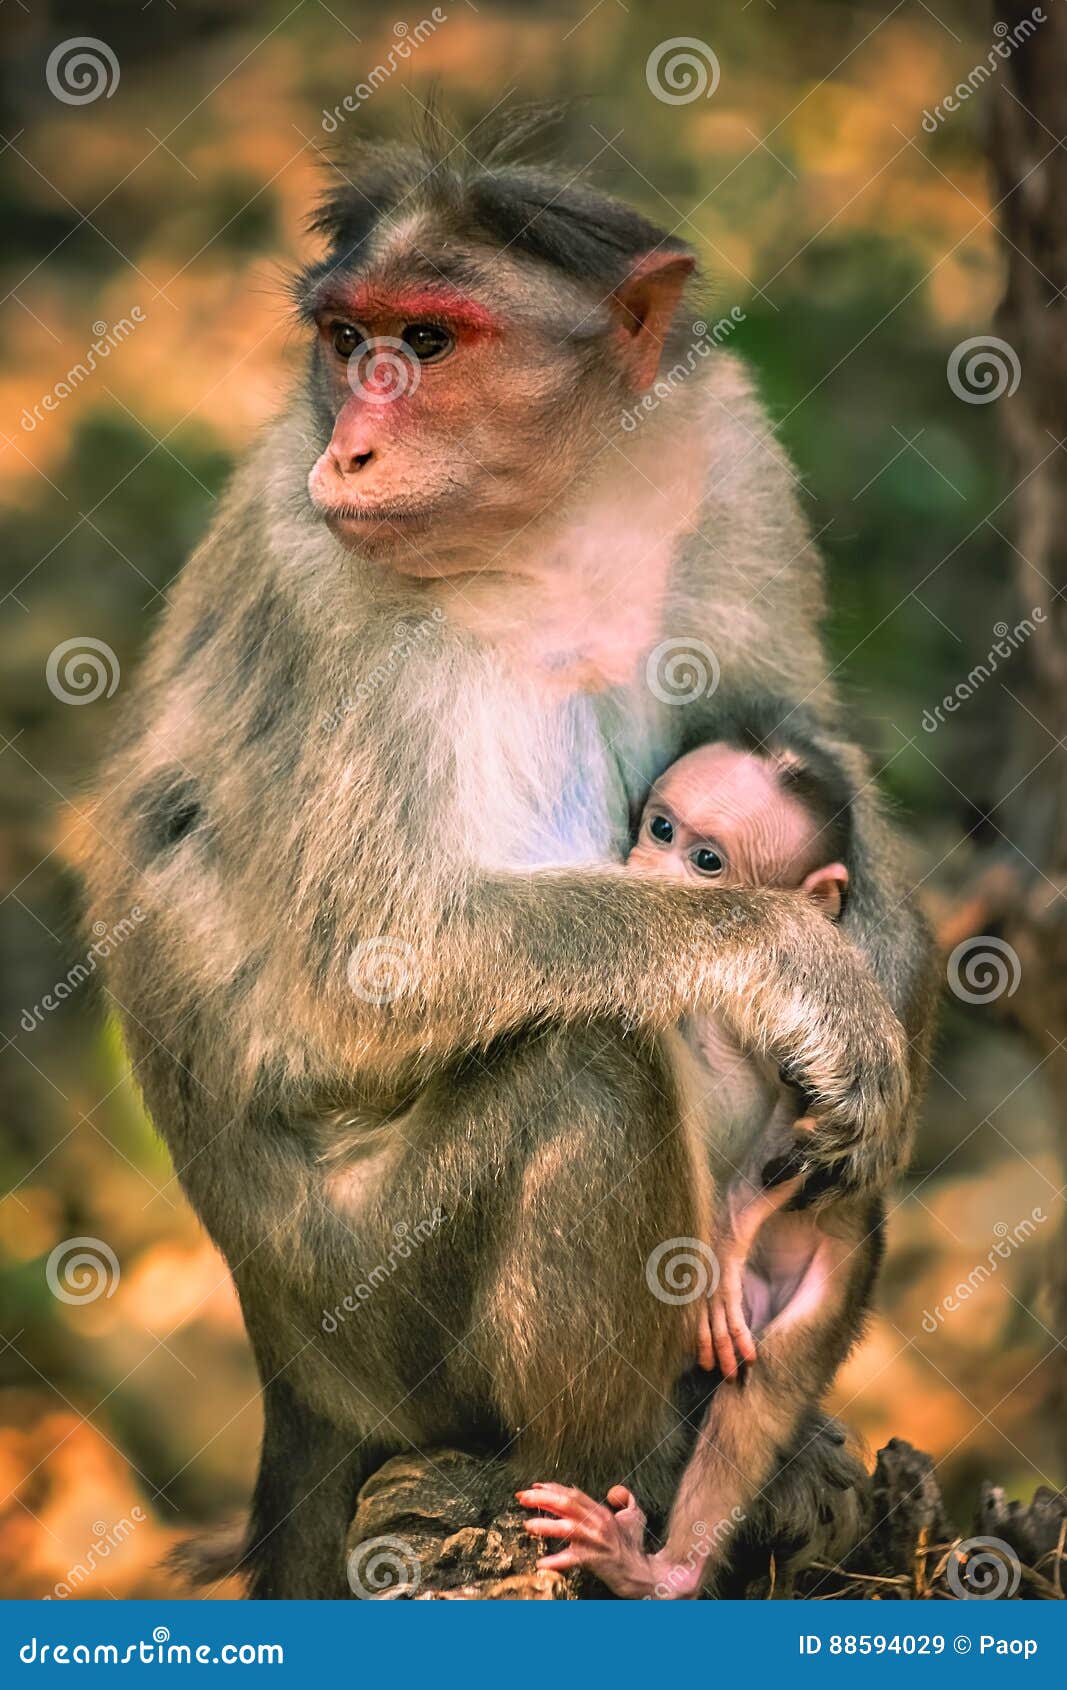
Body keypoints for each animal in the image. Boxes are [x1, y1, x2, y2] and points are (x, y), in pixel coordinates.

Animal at [519, 715, 887, 1597]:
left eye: (706, 859)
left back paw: (663, 1572)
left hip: (823, 1279)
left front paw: (722, 1236)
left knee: (763, 1392)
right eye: (660, 828)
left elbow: (803, 1115)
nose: (648, 868)